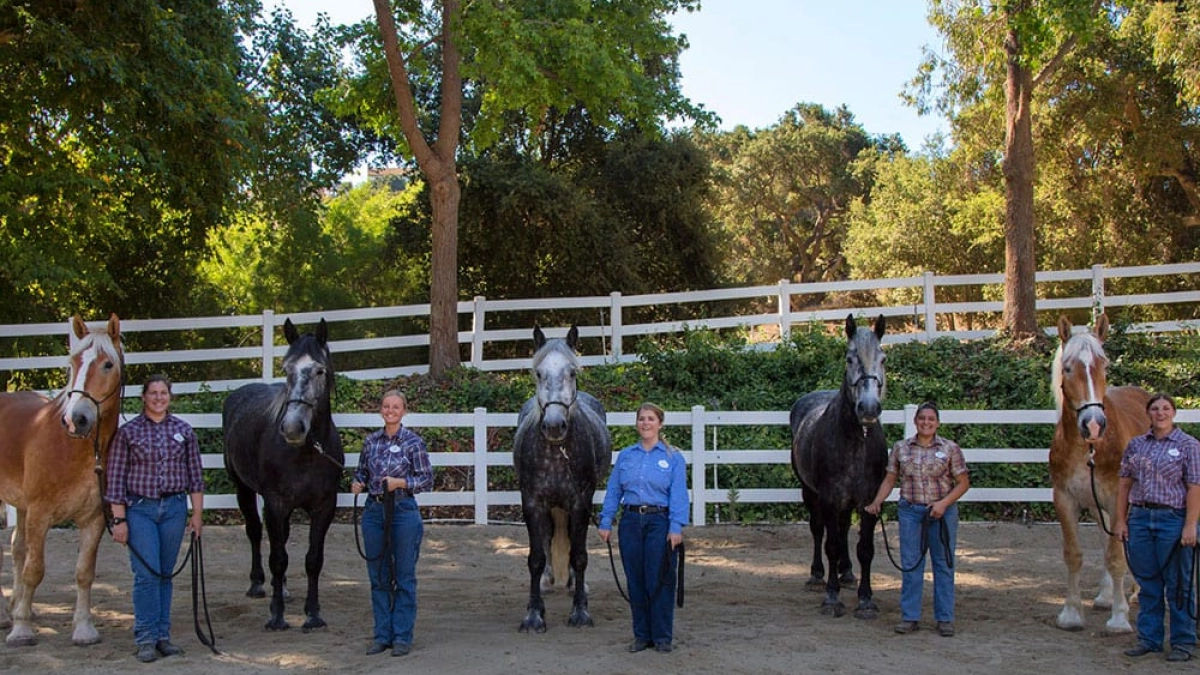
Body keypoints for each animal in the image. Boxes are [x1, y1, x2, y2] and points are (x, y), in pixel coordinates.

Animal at [0, 314, 124, 646]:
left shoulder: (93, 519)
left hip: (20, 506)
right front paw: (22, 629)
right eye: (73, 362)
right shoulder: (40, 515)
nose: (76, 419)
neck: (72, 450)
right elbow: (35, 570)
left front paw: (83, 629)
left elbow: (84, 572)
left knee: (17, 549)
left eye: (108, 364)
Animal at [223, 317, 343, 632]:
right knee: (255, 531)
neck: (306, 453)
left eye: (319, 370)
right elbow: (277, 558)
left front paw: (312, 614)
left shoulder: (324, 507)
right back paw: (257, 584)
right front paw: (276, 615)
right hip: (243, 489)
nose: (292, 427)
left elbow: (313, 560)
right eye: (286, 369)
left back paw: (286, 588)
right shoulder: (275, 504)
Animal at [513, 326, 612, 633]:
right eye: (538, 373)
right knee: (547, 538)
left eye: (572, 372)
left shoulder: (581, 503)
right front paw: (534, 615)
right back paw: (548, 581)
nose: (555, 426)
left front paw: (580, 611)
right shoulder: (533, 503)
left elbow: (579, 556)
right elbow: (535, 558)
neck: (557, 452)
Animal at [790, 314, 888, 619]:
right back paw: (817, 576)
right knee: (818, 530)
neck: (855, 441)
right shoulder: (830, 498)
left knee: (844, 529)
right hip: (810, 493)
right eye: (849, 358)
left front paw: (866, 600)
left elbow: (865, 548)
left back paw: (847, 573)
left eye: (883, 359)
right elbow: (830, 544)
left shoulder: (869, 500)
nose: (868, 408)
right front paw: (832, 598)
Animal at [1050, 313, 1149, 633]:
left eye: (1104, 365)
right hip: (1097, 506)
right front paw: (1071, 614)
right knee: (1107, 540)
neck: (1089, 449)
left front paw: (1119, 618)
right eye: (1068, 368)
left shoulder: (1119, 498)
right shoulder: (1065, 499)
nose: (1093, 424)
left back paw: (1135, 593)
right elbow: (1074, 555)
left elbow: (1117, 557)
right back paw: (1106, 596)